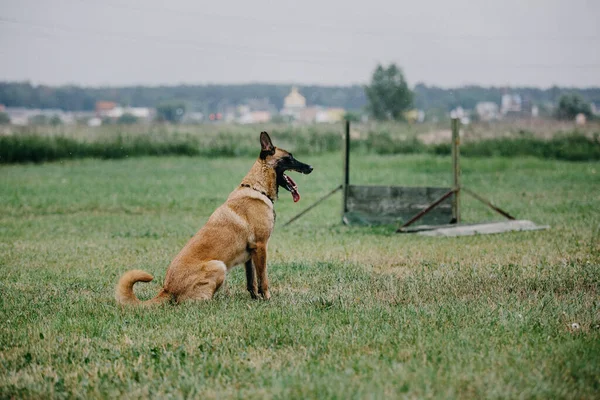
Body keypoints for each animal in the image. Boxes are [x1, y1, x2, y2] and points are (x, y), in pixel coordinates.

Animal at [116, 131, 314, 304]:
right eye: (289, 158)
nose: (311, 167)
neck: (257, 188)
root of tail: (167, 288)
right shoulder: (261, 247)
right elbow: (263, 279)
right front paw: (267, 299)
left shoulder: (250, 254)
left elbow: (251, 281)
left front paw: (255, 299)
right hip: (219, 266)